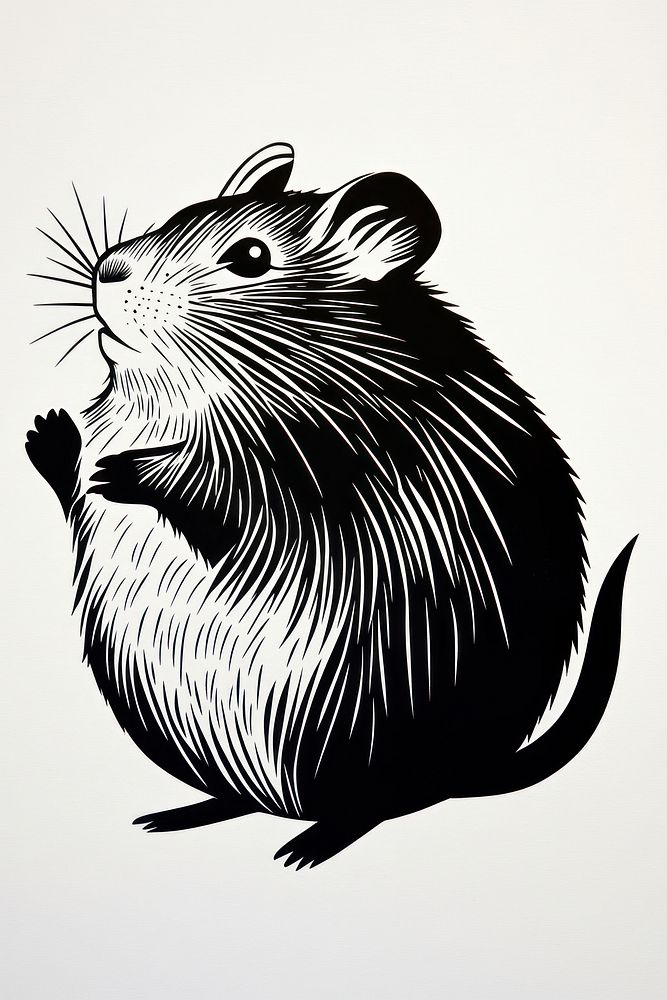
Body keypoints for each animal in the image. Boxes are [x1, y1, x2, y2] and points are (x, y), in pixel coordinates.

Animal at [26, 142, 635, 868]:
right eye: (179, 214)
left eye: (251, 257)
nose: (106, 271)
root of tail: (465, 770)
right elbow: (76, 479)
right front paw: (49, 434)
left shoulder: (310, 471)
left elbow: (224, 501)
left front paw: (124, 469)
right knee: (243, 797)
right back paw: (183, 814)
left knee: (364, 810)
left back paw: (308, 845)